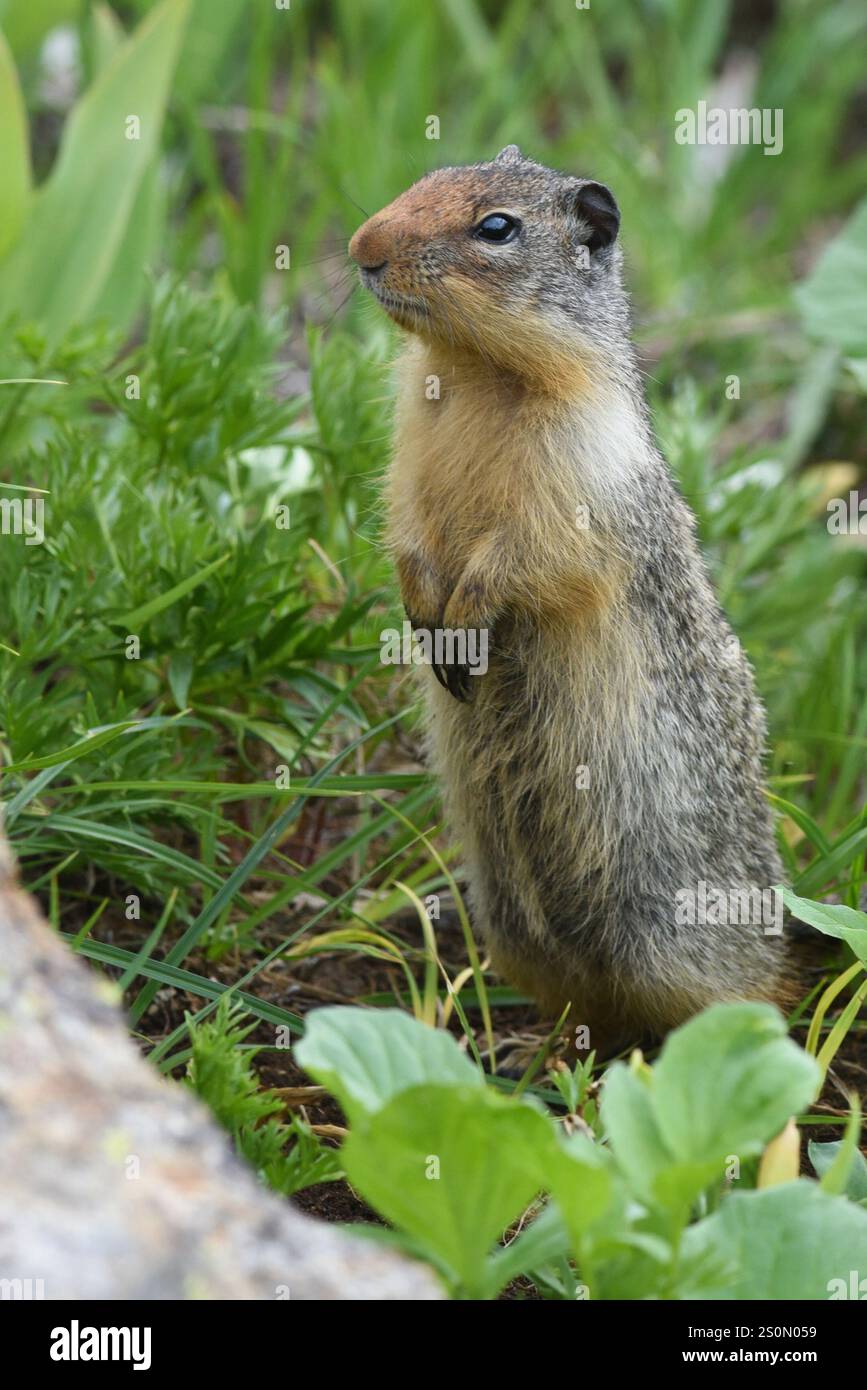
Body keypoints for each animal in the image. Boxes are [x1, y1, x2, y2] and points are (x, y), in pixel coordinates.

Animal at [349, 145, 801, 1055]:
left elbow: (531, 556)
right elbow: (408, 526)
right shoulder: (410, 450)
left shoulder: (579, 477)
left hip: (671, 937)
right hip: (514, 922)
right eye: (426, 176)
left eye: (496, 227)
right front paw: (423, 614)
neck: (477, 373)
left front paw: (465, 621)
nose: (360, 246)